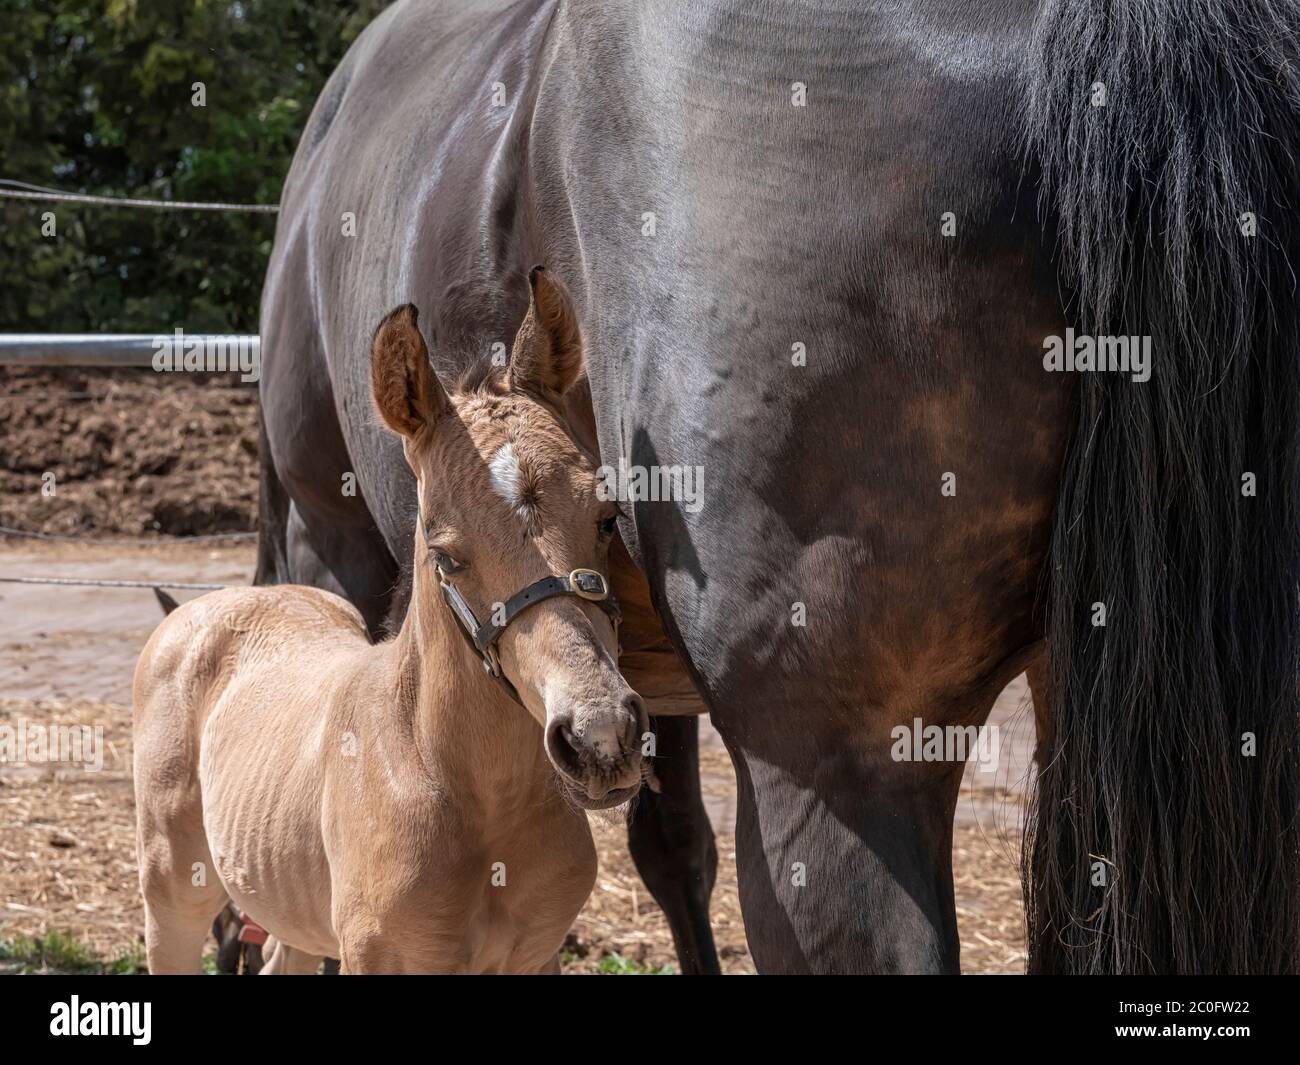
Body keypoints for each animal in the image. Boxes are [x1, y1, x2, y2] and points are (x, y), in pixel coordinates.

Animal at [134, 272, 647, 973]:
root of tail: (211, 605)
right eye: (445, 553)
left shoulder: (538, 956)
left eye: (606, 518)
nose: (601, 737)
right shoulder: (379, 957)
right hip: (174, 892)